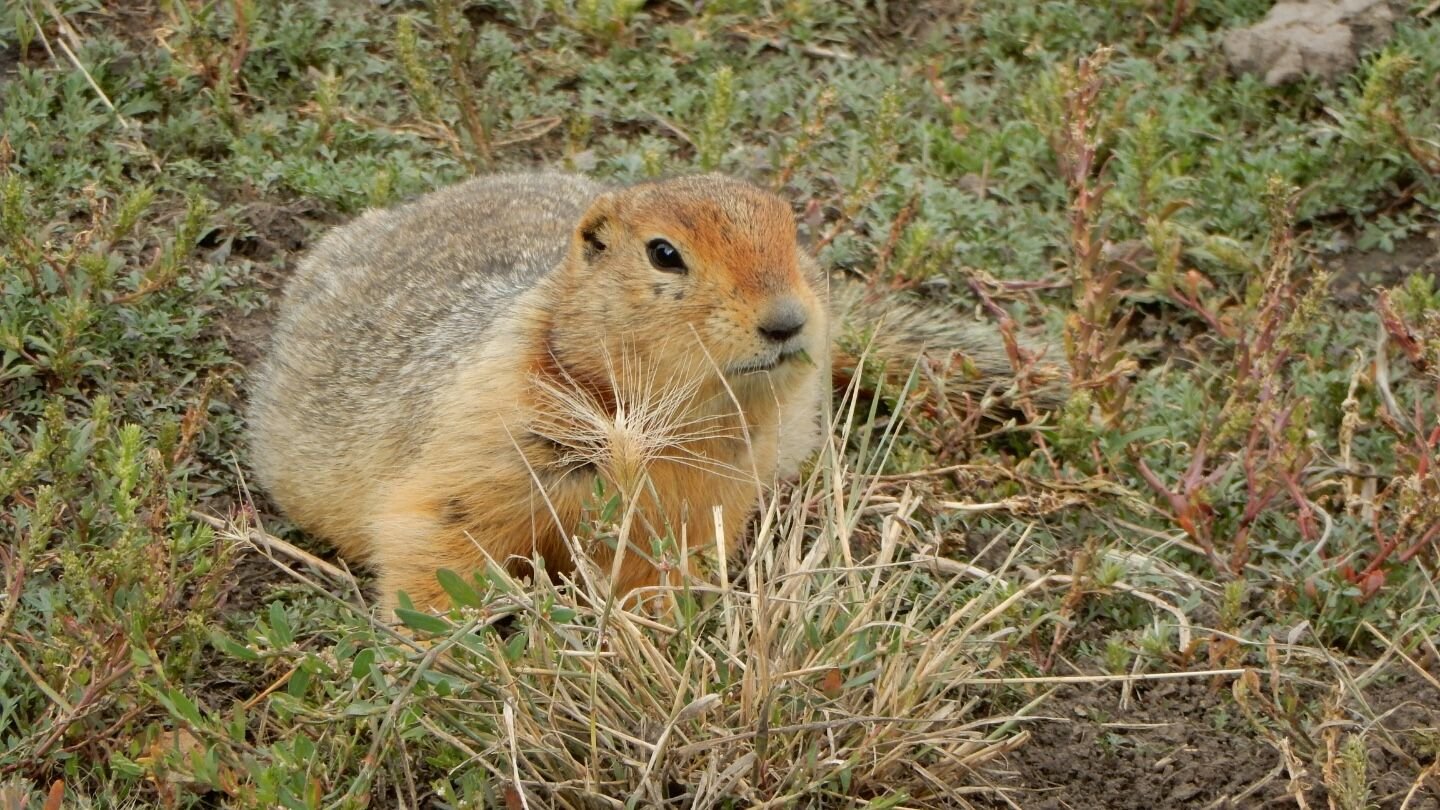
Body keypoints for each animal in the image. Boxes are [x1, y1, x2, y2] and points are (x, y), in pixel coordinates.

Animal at [247, 171, 1069, 615]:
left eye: (791, 231)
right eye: (664, 253)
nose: (788, 320)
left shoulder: (706, 495)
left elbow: (661, 567)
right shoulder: (485, 435)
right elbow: (438, 535)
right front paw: (448, 646)